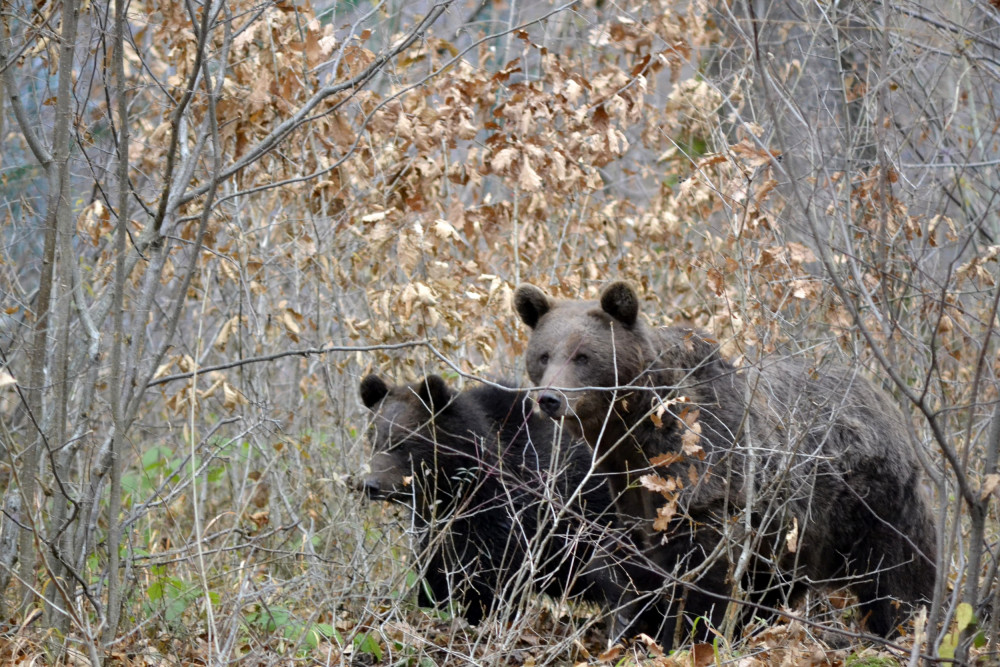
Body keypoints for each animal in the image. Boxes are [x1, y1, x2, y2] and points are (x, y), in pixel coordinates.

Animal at [359, 373, 618, 626]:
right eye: (374, 440)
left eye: (403, 443)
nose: (369, 484)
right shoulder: (436, 520)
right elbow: (435, 566)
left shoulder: (506, 510)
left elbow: (490, 574)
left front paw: (478, 614)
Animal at [513, 280, 937, 647]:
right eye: (544, 355)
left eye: (583, 356)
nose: (550, 398)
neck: (637, 434)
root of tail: (885, 399)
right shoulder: (629, 491)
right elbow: (633, 571)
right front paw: (634, 633)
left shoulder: (707, 476)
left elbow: (704, 574)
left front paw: (687, 637)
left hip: (869, 504)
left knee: (898, 576)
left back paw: (903, 628)